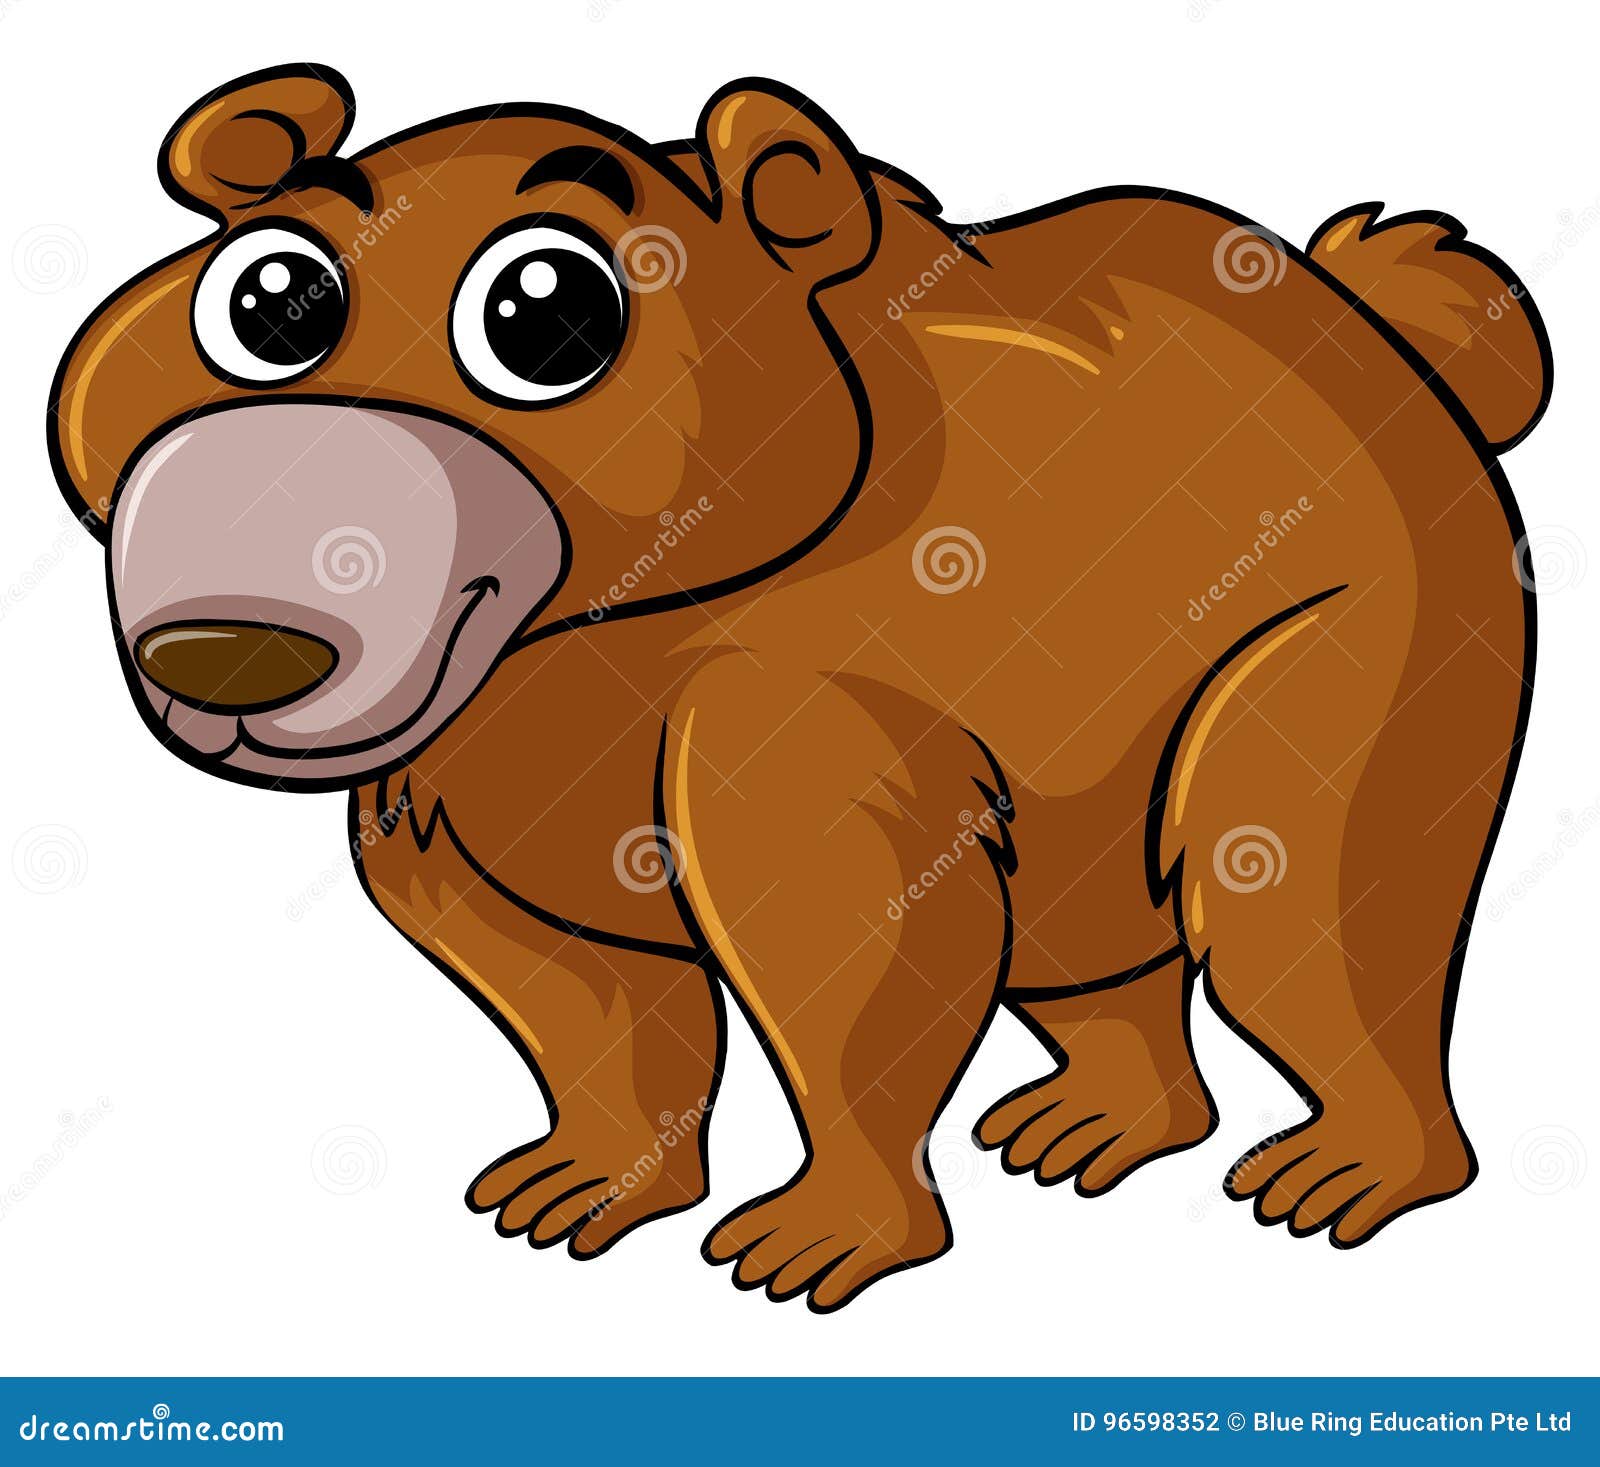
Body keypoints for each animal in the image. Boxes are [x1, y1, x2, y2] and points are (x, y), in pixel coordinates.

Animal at [50, 63, 1551, 1312]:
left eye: (549, 314)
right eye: (268, 301)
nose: (233, 642)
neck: (577, 639)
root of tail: (1369, 329)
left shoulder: (790, 723)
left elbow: (850, 960)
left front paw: (820, 1239)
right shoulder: (454, 782)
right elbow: (578, 996)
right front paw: (578, 1184)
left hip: (1365, 611)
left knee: (1298, 879)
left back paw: (1348, 1173)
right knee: (1088, 928)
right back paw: (1097, 1122)